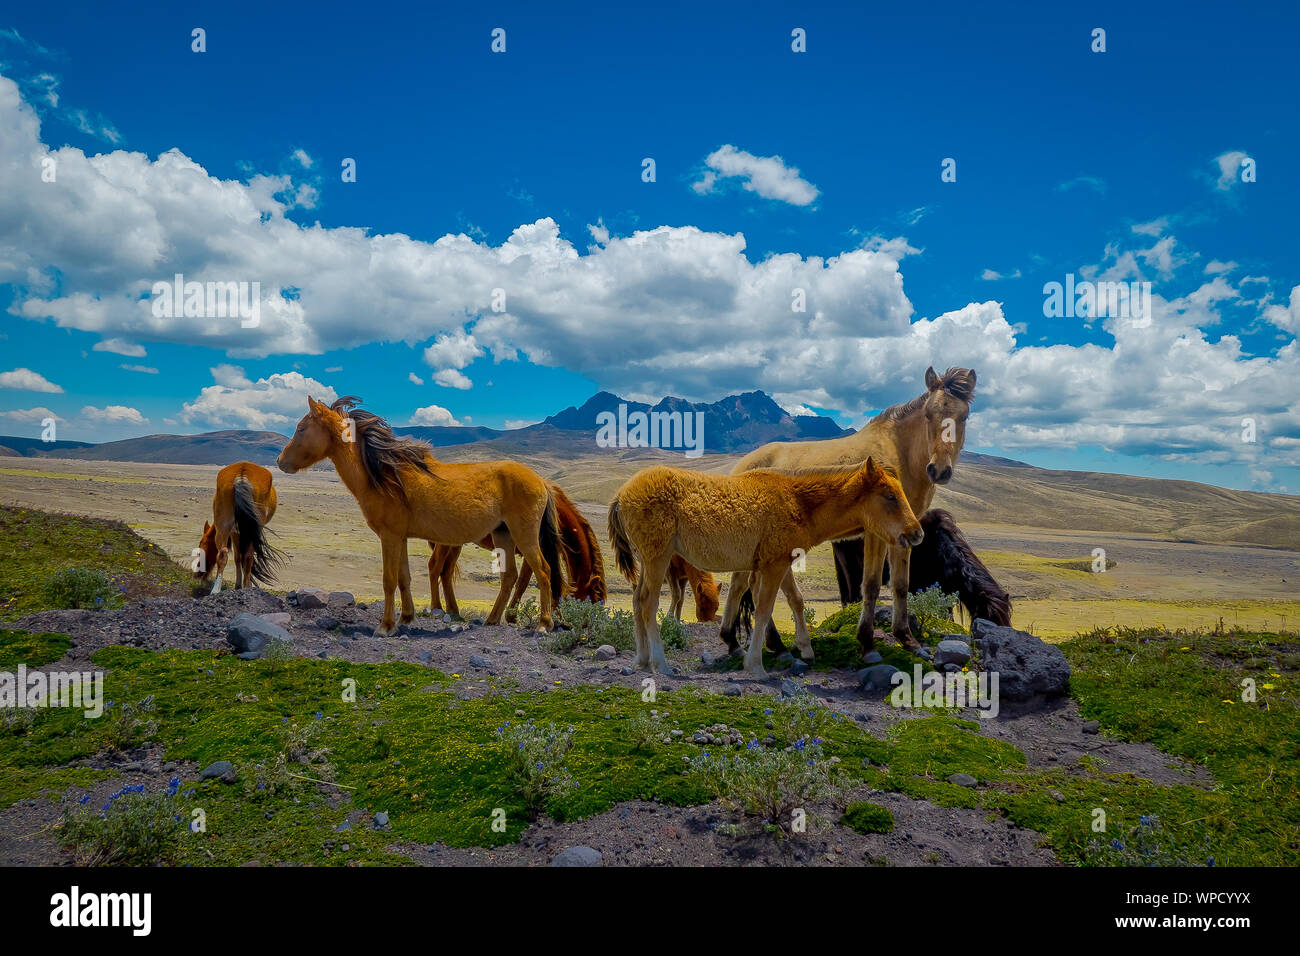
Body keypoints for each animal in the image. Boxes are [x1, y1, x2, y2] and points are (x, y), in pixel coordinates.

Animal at [193, 461, 286, 595]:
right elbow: (239, 558)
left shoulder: (234, 532)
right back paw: (242, 587)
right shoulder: (237, 532)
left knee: (225, 555)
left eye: (200, 548)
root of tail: (241, 475)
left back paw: (217, 590)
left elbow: (237, 558)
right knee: (247, 557)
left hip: (224, 527)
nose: (197, 574)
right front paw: (240, 585)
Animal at [277, 396, 562, 635]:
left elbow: (389, 580)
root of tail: (541, 481)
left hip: (524, 536)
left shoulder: (389, 537)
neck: (386, 476)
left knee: (543, 571)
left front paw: (386, 626)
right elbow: (404, 578)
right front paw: (405, 618)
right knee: (509, 576)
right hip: (503, 534)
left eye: (301, 428)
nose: (280, 462)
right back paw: (492, 620)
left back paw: (543, 624)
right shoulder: (400, 538)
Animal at [427, 482, 606, 618]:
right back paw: (437, 608)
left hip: (454, 544)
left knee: (446, 572)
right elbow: (524, 582)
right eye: (591, 603)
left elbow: (528, 581)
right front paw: (512, 616)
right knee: (435, 566)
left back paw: (453, 611)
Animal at [608, 458, 922, 678]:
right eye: (890, 496)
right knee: (648, 602)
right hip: (657, 558)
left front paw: (805, 649)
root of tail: (621, 494)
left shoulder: (776, 563)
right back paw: (660, 664)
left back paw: (641, 660)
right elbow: (763, 610)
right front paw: (756, 666)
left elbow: (794, 600)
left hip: (646, 562)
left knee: (636, 600)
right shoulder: (774, 565)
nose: (917, 533)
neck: (798, 501)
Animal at [719, 366, 975, 660]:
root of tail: (740, 467)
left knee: (740, 583)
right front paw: (867, 644)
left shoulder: (903, 532)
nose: (939, 470)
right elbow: (871, 585)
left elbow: (900, 584)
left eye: (963, 416)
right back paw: (773, 644)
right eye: (928, 415)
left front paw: (908, 639)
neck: (900, 454)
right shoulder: (877, 533)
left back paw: (737, 642)